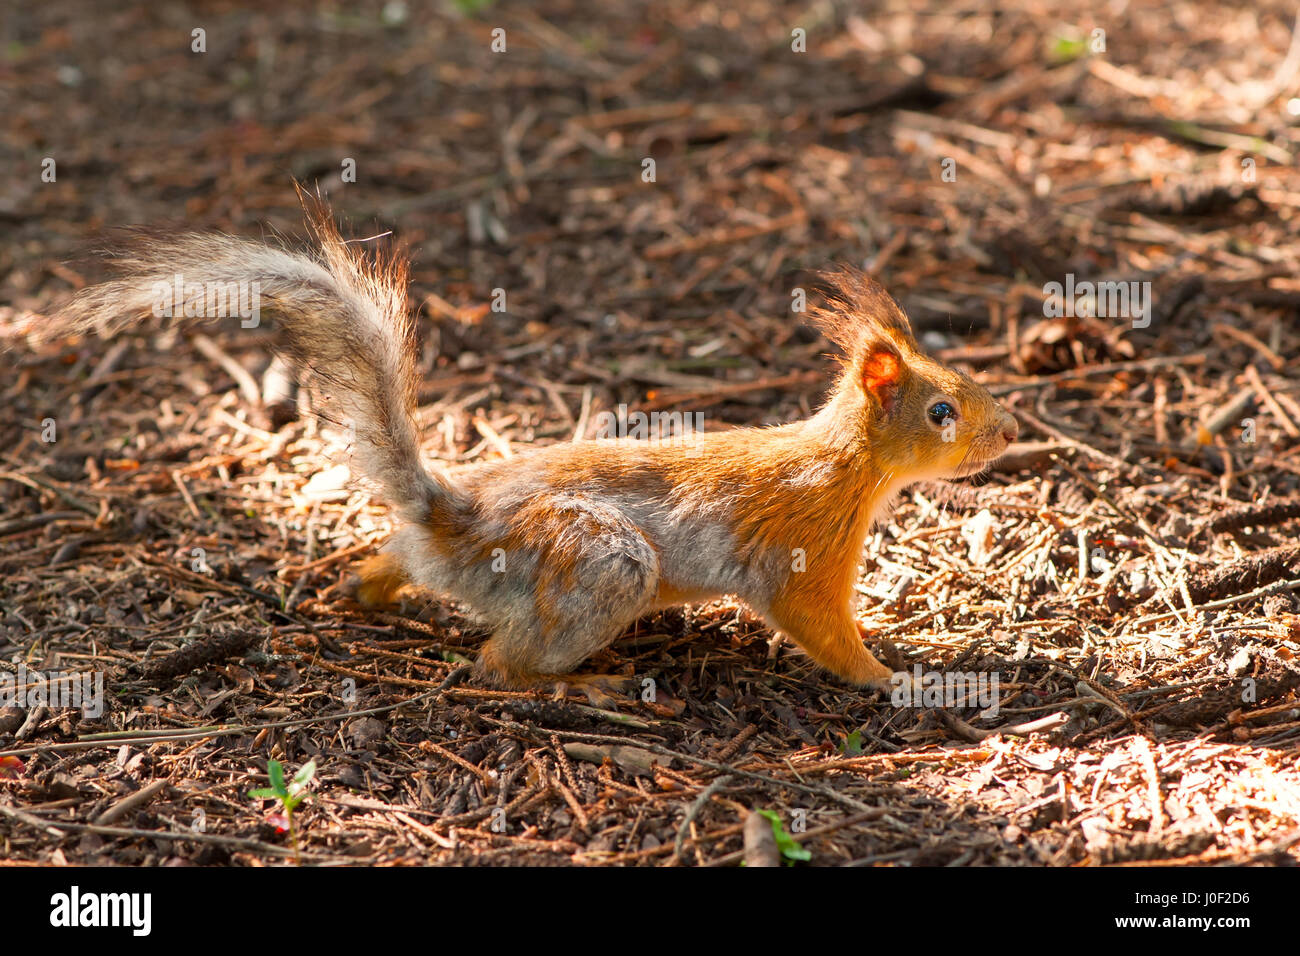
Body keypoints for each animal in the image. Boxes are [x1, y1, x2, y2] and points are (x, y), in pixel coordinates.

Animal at [54, 196, 1019, 700]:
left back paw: (356, 591)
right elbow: (823, 629)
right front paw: (893, 678)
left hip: (445, 559)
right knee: (496, 666)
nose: (1008, 432)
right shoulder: (804, 554)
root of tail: (456, 525)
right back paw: (582, 686)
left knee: (387, 564)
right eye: (942, 410)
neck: (847, 467)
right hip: (600, 565)